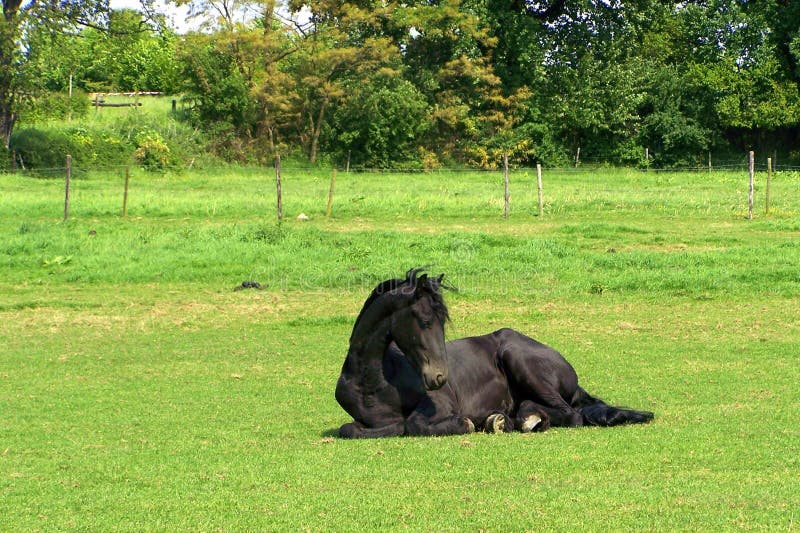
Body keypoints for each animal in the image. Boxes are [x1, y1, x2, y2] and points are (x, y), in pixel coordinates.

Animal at [335, 269, 654, 438]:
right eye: (425, 321)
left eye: (442, 323)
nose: (439, 377)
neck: (374, 383)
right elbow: (349, 428)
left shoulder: (440, 405)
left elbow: (412, 424)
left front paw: (464, 423)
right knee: (540, 411)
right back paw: (506, 420)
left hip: (518, 359)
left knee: (571, 415)